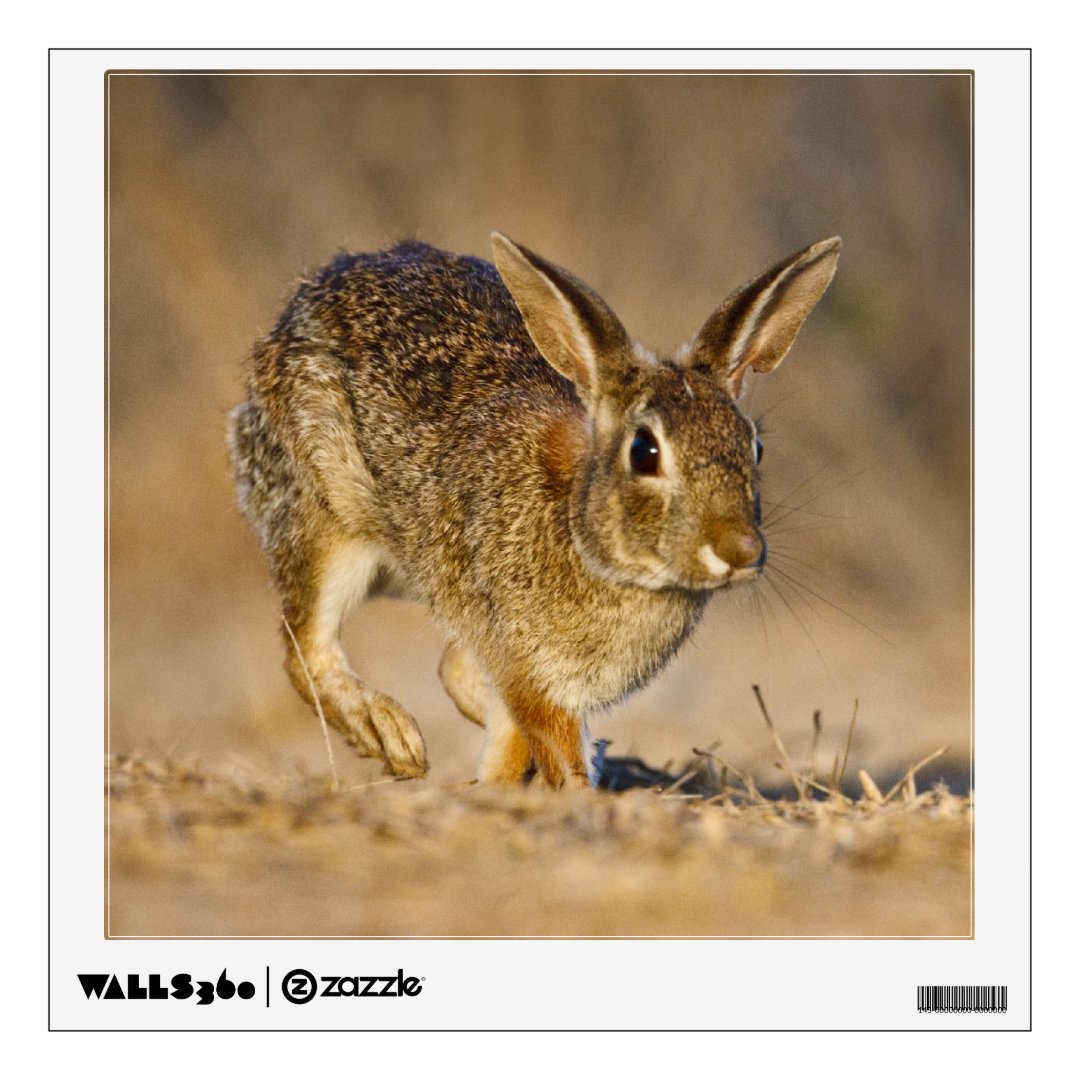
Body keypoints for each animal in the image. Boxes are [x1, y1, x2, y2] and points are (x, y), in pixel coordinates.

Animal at [228, 232, 840, 788]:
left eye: (754, 447)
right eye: (645, 452)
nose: (740, 549)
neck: (584, 535)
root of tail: (303, 300)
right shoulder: (529, 672)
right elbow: (550, 749)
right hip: (326, 518)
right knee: (306, 649)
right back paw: (391, 736)